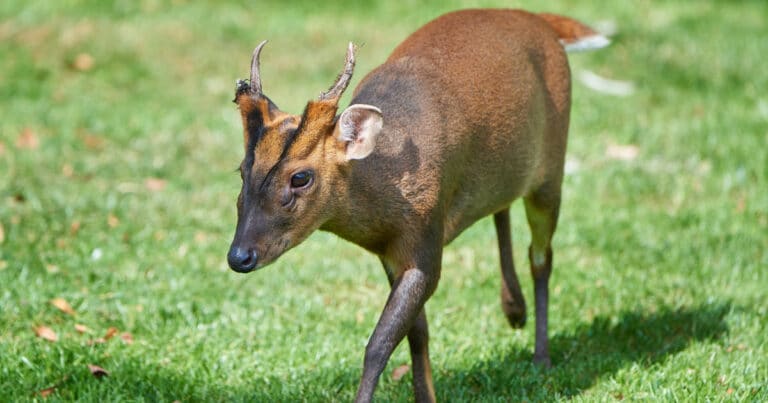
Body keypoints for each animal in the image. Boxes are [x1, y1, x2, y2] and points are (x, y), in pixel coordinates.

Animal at [227, 8, 608, 402]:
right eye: (242, 169)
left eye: (300, 177)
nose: (239, 256)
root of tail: (540, 20)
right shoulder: (391, 254)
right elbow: (417, 333)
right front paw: (425, 395)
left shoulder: (426, 242)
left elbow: (379, 343)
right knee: (501, 207)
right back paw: (514, 309)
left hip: (551, 170)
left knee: (541, 256)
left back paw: (541, 356)